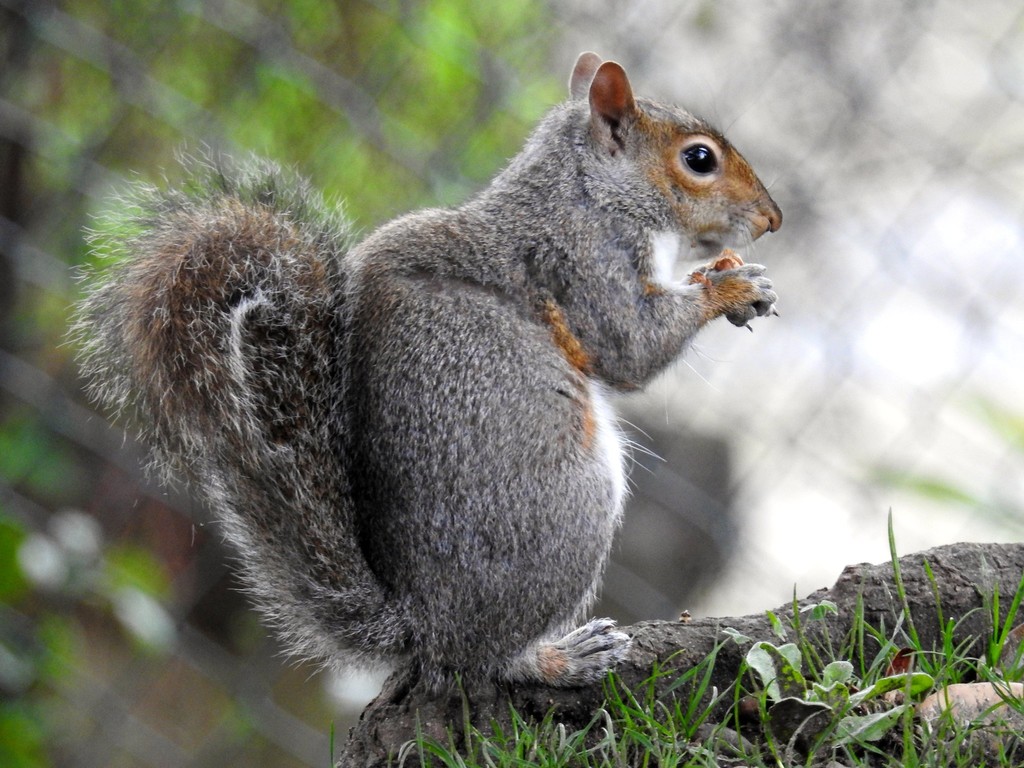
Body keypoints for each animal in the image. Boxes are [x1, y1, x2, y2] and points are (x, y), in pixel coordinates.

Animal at [72, 52, 781, 693]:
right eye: (698, 160)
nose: (773, 218)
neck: (587, 191)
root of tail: (424, 625)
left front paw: (726, 277)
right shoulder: (583, 260)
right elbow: (632, 346)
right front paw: (731, 287)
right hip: (572, 509)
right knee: (483, 665)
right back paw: (557, 659)